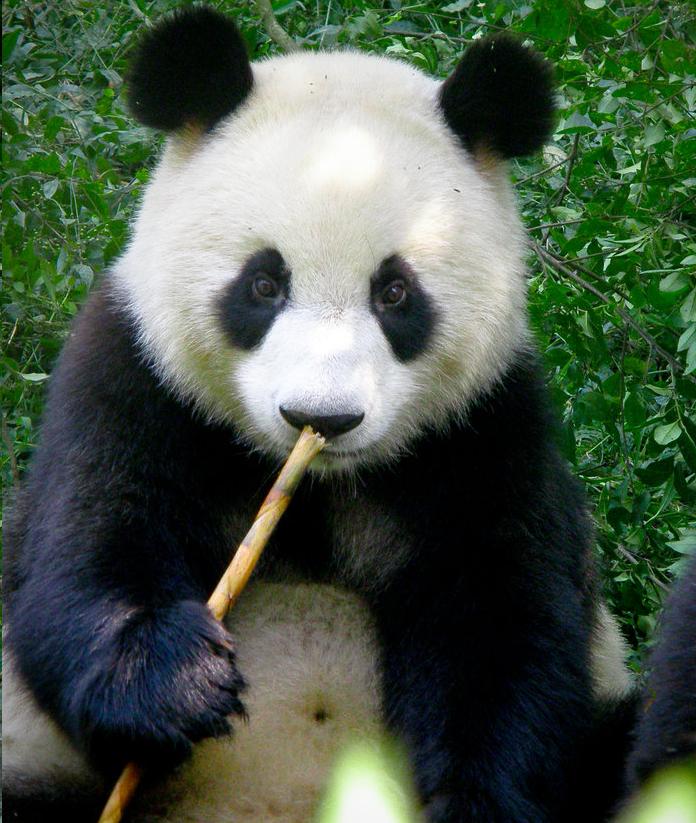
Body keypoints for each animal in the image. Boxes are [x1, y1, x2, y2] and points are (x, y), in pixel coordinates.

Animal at [2, 7, 636, 822]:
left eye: (395, 292)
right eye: (264, 284)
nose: (322, 417)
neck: (317, 486)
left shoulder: (486, 426)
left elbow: (503, 618)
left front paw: (474, 797)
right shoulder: (133, 375)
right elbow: (86, 544)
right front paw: (177, 681)